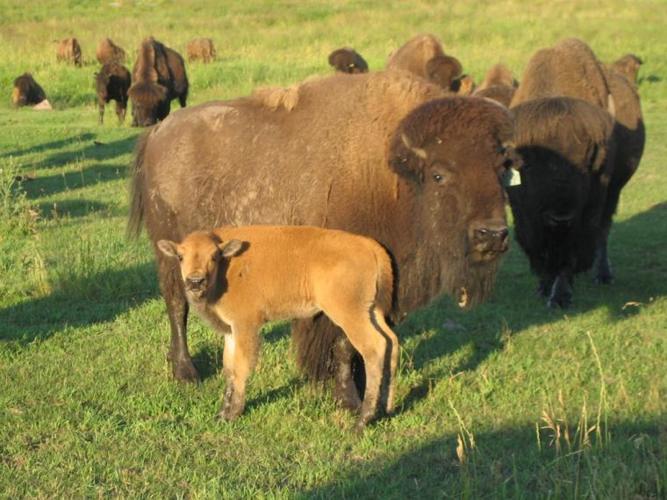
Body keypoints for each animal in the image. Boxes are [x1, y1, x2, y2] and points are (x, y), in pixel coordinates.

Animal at [128, 70, 516, 409]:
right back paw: (186, 372)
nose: (492, 234)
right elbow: (344, 344)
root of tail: (158, 132)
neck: (391, 175)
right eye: (439, 174)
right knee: (177, 306)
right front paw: (349, 400)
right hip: (173, 255)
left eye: (501, 169)